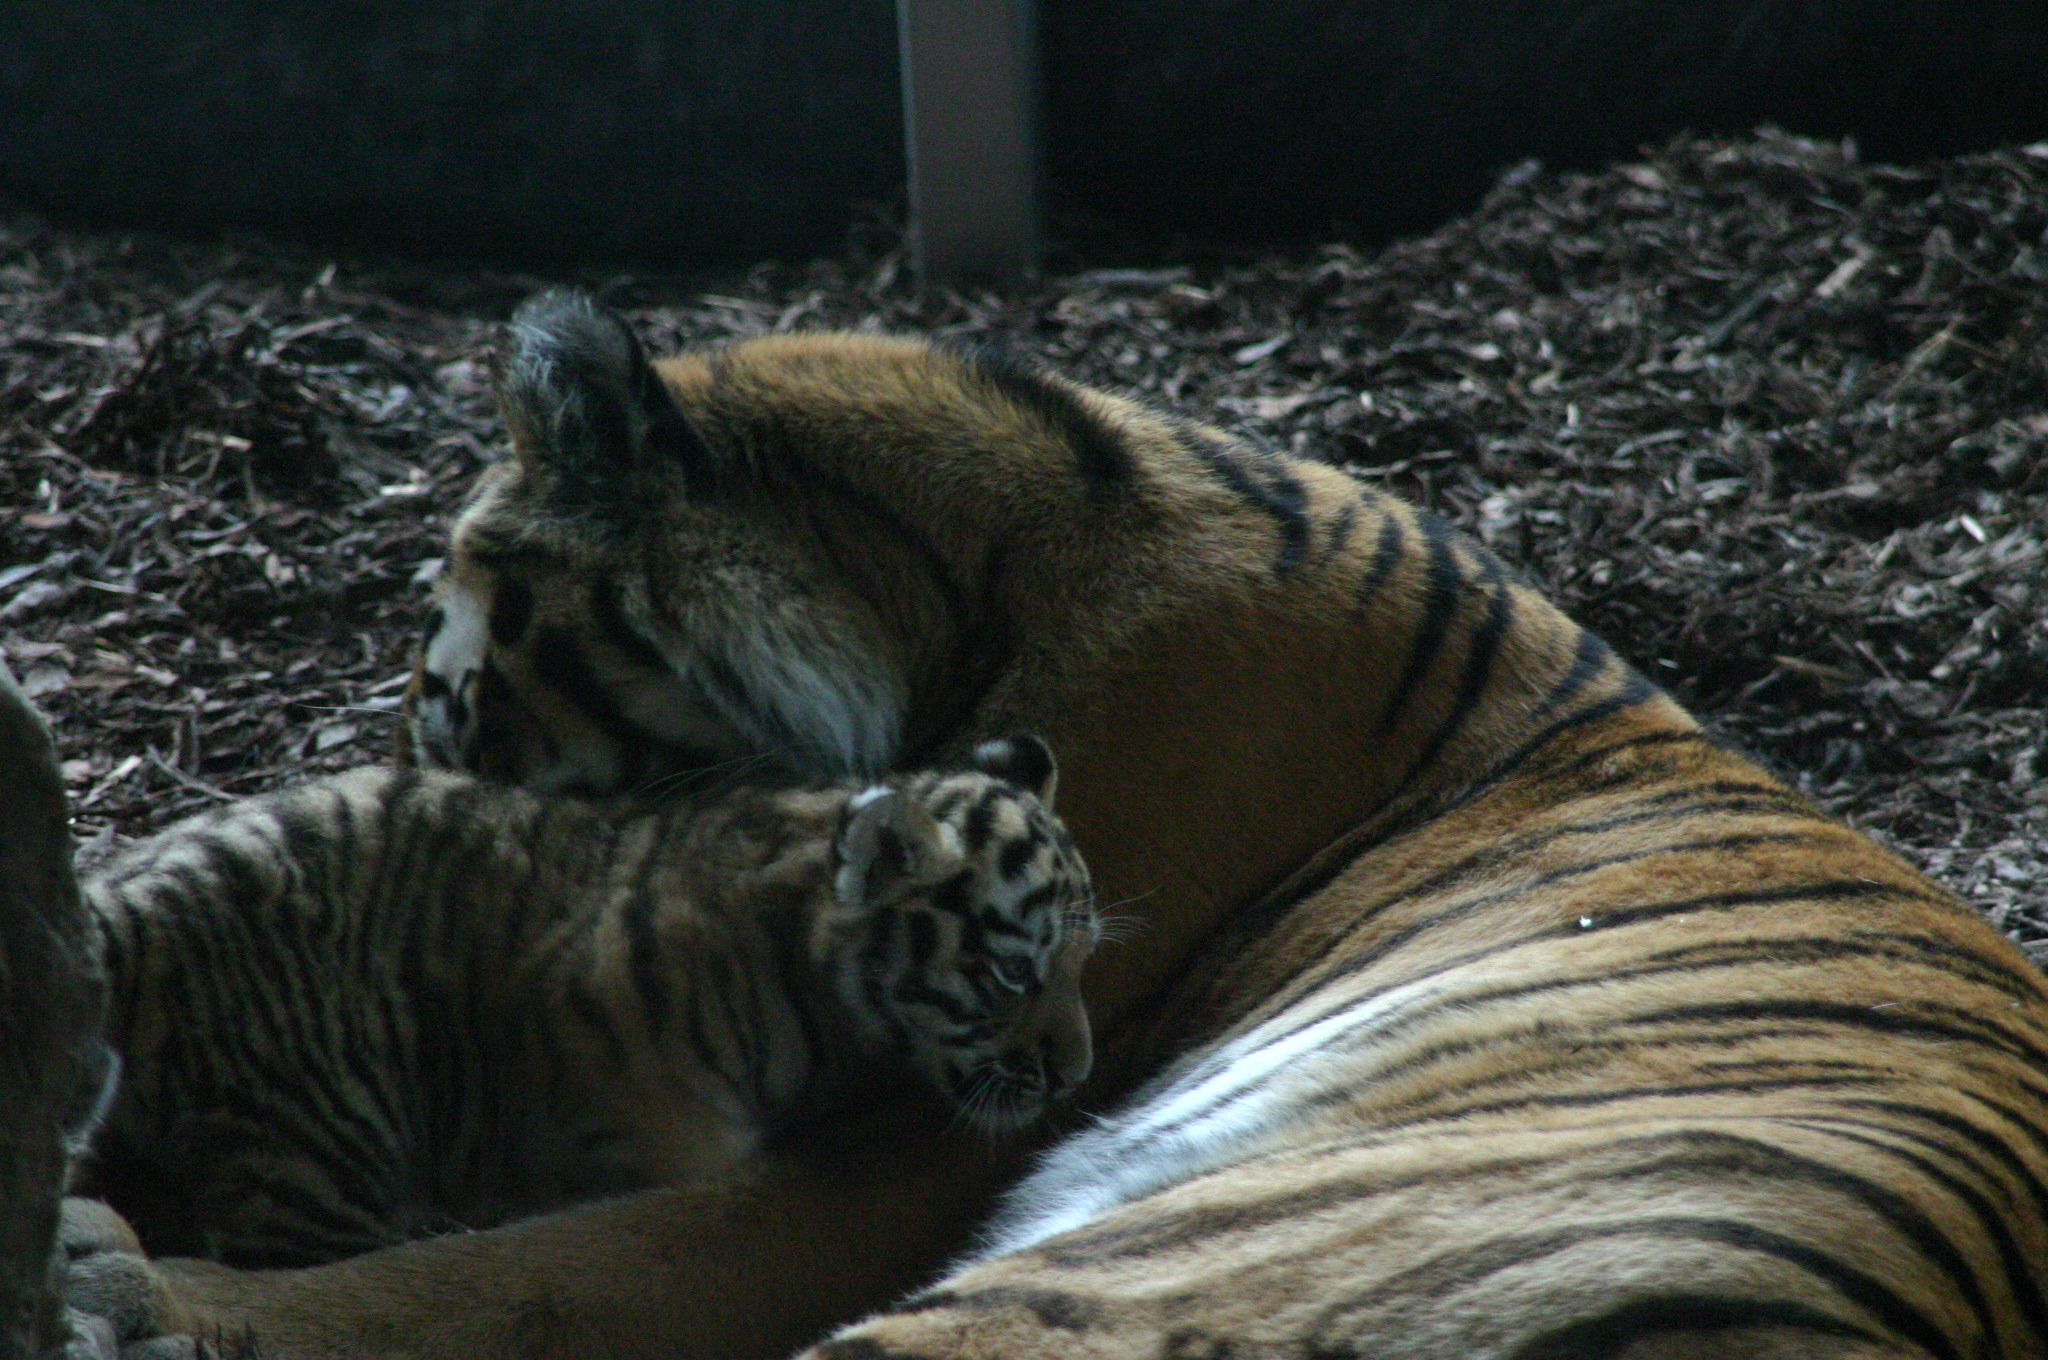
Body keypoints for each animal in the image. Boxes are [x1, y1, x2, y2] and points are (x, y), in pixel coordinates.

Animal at [73, 736, 1096, 1271]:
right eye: (1016, 975)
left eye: (1080, 961)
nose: (1076, 1072)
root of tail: (126, 911)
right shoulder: (661, 1152)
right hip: (310, 1164)